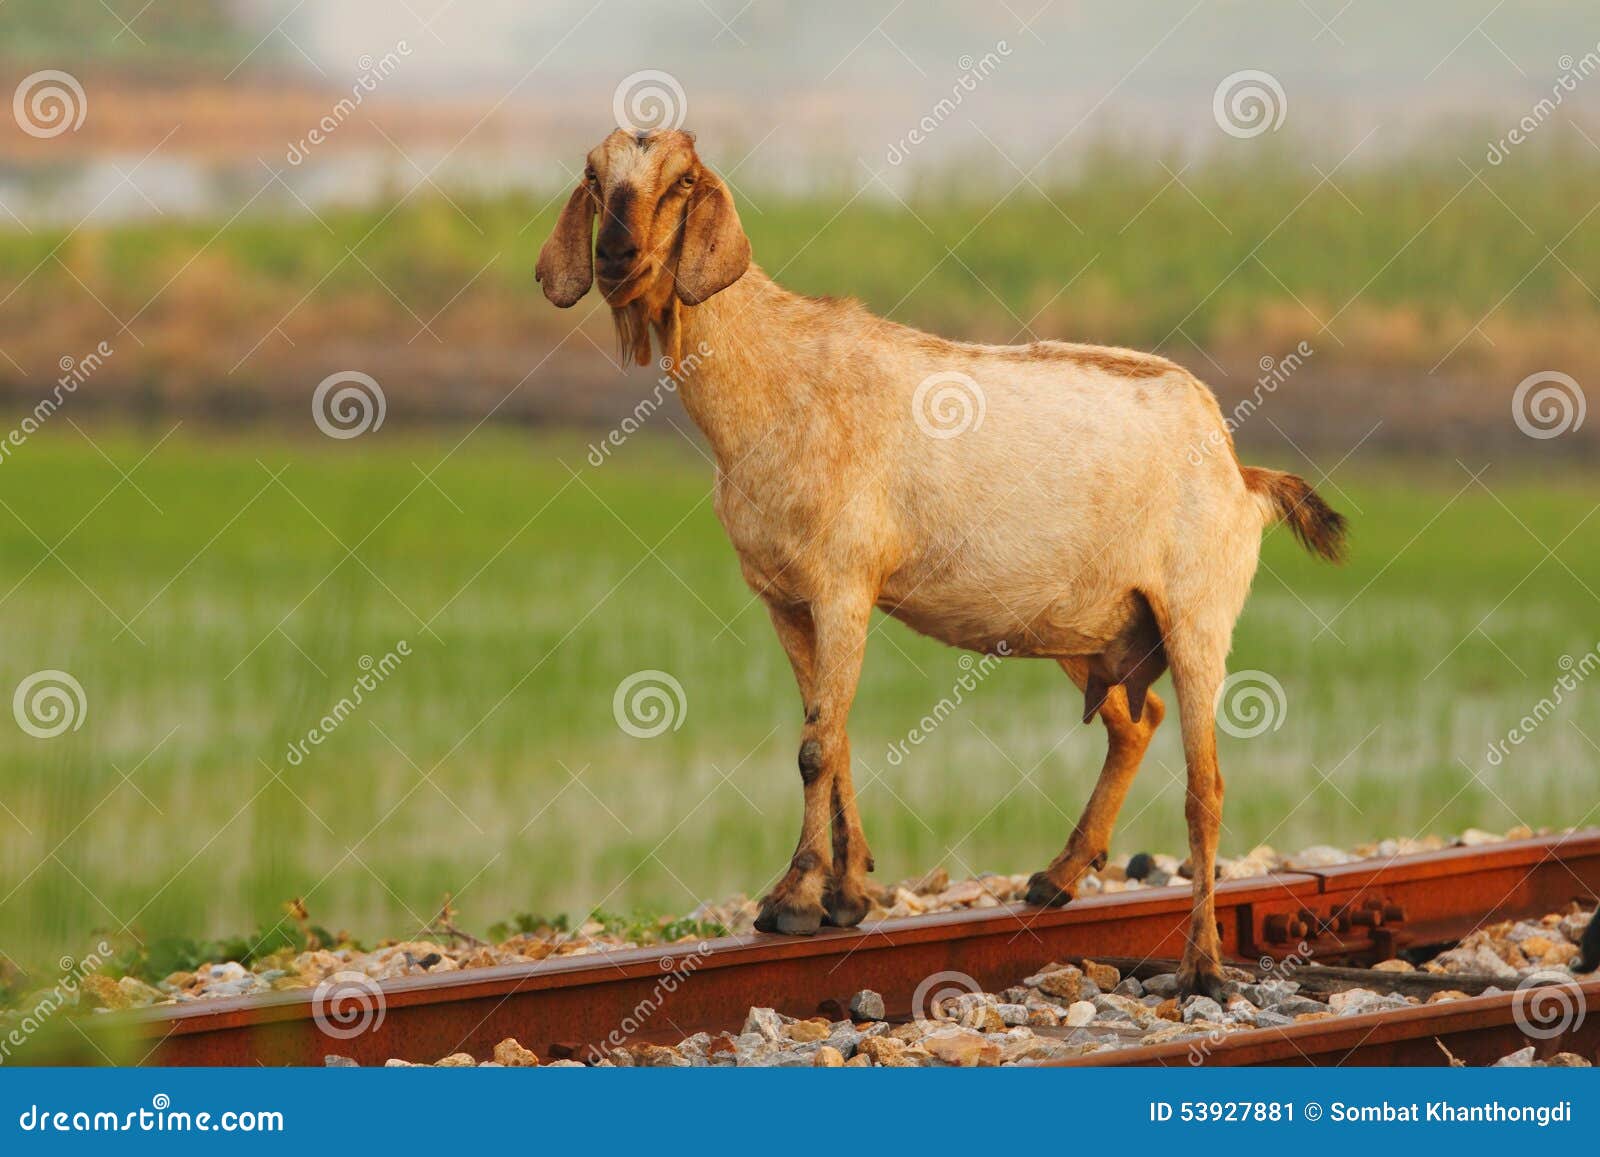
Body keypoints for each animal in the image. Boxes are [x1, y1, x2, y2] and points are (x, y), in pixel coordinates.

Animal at [537, 128, 1347, 997]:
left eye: (682, 181)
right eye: (594, 176)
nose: (616, 255)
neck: (775, 379)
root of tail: (1240, 470)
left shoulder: (843, 584)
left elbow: (816, 744)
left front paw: (792, 901)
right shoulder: (786, 598)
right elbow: (832, 731)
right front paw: (846, 893)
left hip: (1197, 613)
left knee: (1207, 786)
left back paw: (1200, 966)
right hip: (1090, 626)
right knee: (1139, 721)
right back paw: (1056, 877)